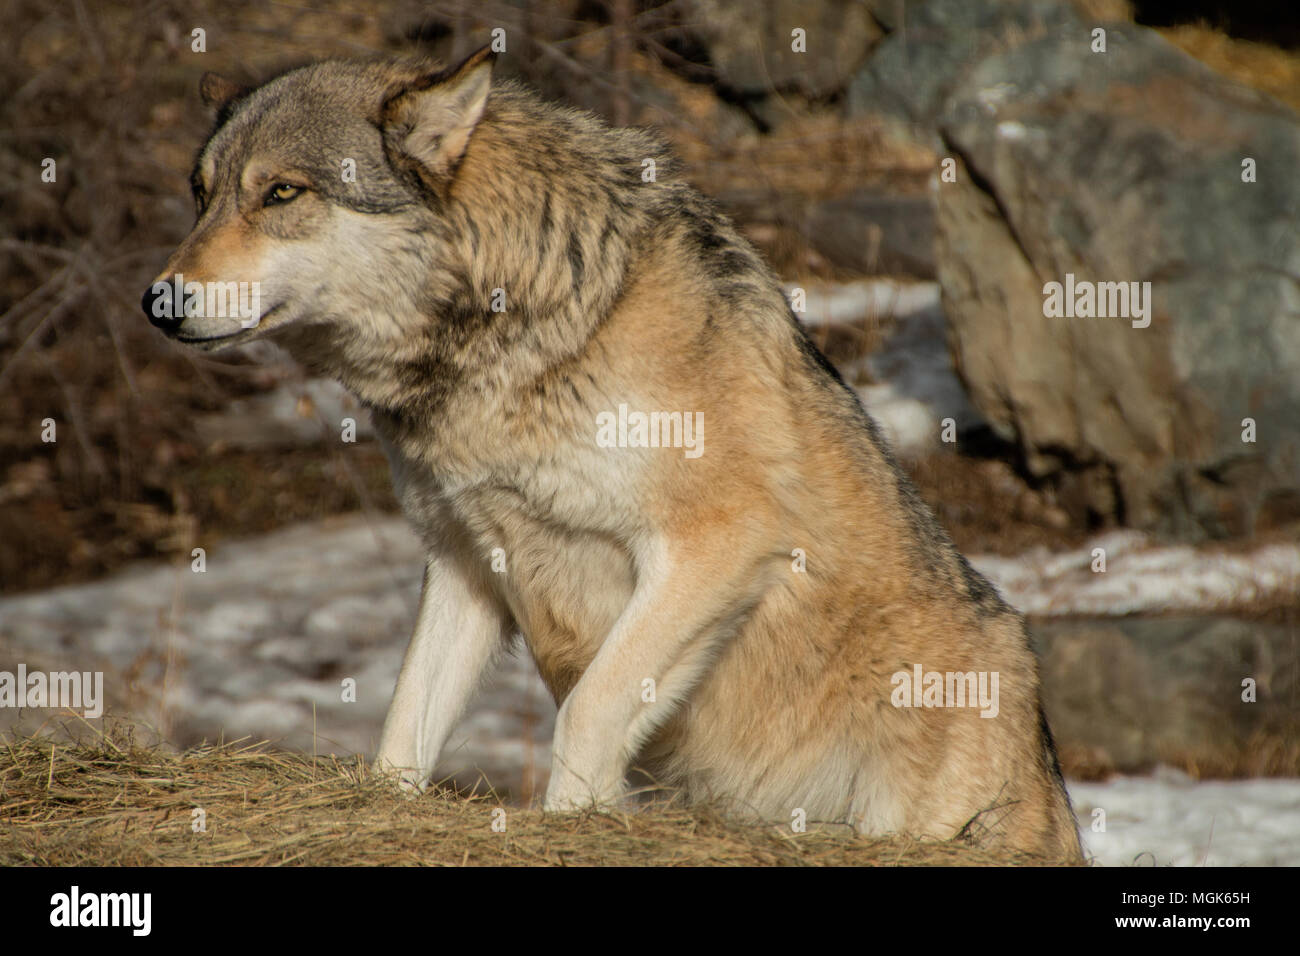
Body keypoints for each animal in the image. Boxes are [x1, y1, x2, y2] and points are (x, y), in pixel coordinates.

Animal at [143, 47, 1083, 860]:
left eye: (281, 192)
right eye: (201, 195)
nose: (158, 301)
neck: (512, 337)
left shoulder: (717, 543)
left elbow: (589, 711)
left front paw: (571, 826)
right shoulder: (465, 559)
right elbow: (404, 723)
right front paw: (385, 808)